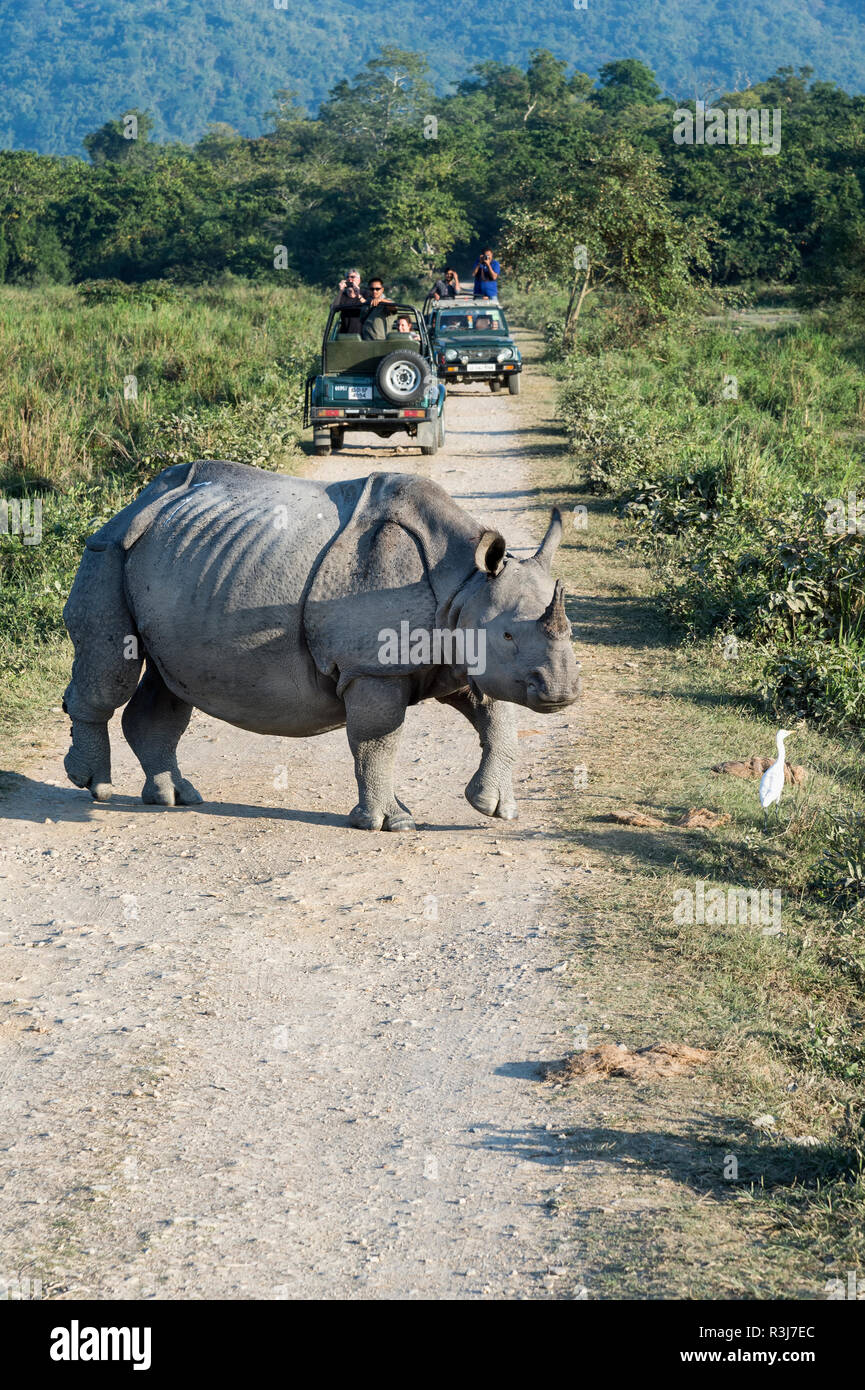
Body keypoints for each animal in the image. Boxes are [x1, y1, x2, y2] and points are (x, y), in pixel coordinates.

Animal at [62, 461, 581, 830]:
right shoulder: (373, 667)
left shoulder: (461, 656)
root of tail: (140, 498)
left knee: (171, 681)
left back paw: (176, 797)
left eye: (571, 630)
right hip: (109, 549)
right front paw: (392, 823)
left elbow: (499, 721)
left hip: (180, 560)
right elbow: (379, 741)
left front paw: (494, 808)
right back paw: (95, 786)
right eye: (509, 635)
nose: (563, 692)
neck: (465, 582)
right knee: (112, 667)